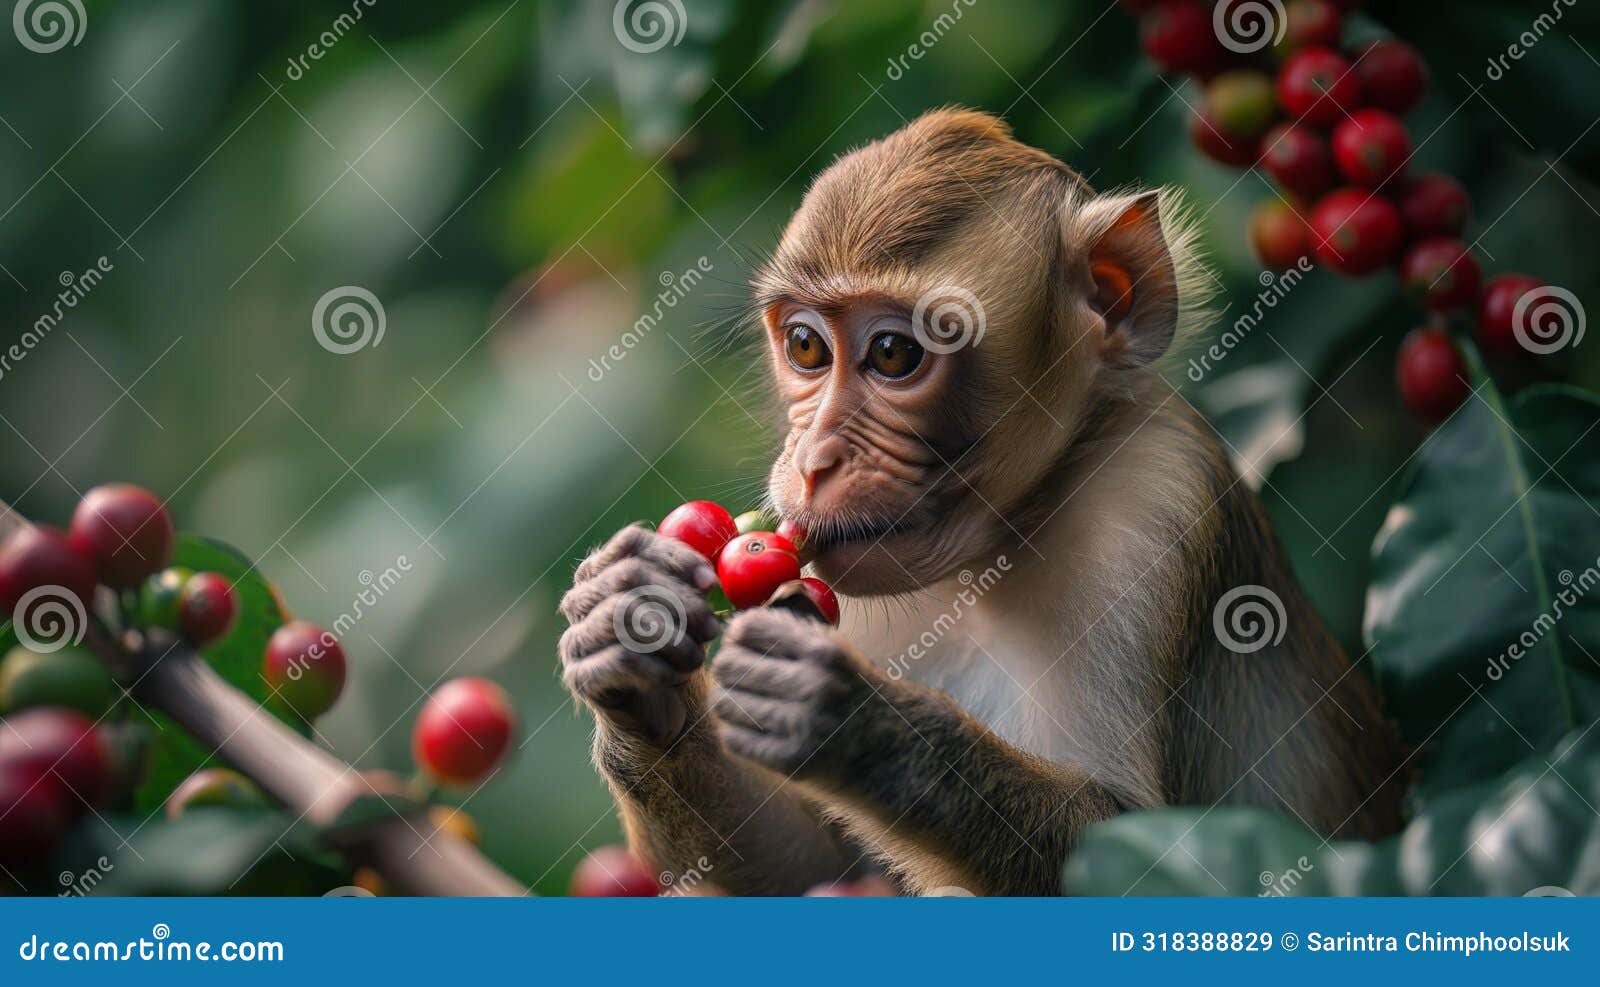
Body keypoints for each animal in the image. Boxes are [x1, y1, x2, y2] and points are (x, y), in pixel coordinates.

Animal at [557, 108, 1407, 896]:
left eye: (894, 353)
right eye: (805, 346)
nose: (814, 459)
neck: (1006, 539)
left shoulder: (1156, 497)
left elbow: (1133, 847)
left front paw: (866, 730)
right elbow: (820, 869)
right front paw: (625, 637)